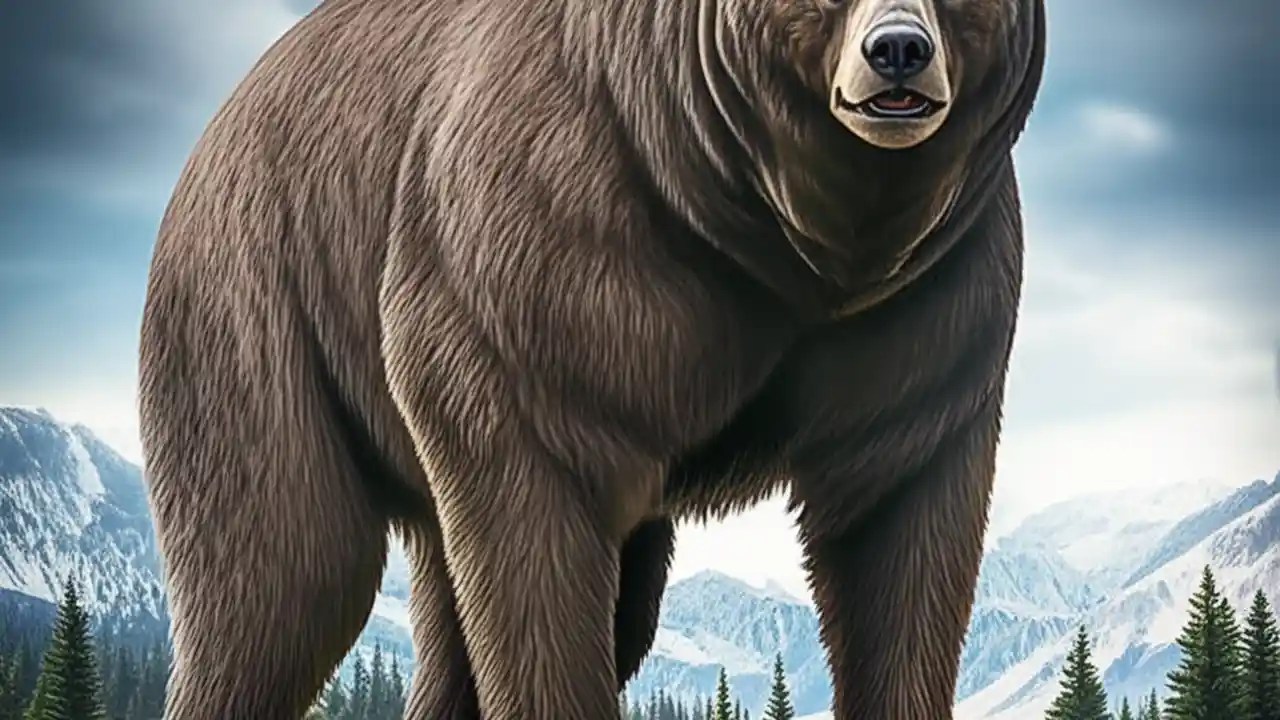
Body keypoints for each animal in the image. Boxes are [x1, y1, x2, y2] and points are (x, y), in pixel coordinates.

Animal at [137, 0, 1046, 717]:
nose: (897, 49)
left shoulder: (933, 303)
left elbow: (895, 531)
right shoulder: (549, 252)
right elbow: (537, 535)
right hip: (253, 308)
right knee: (287, 581)